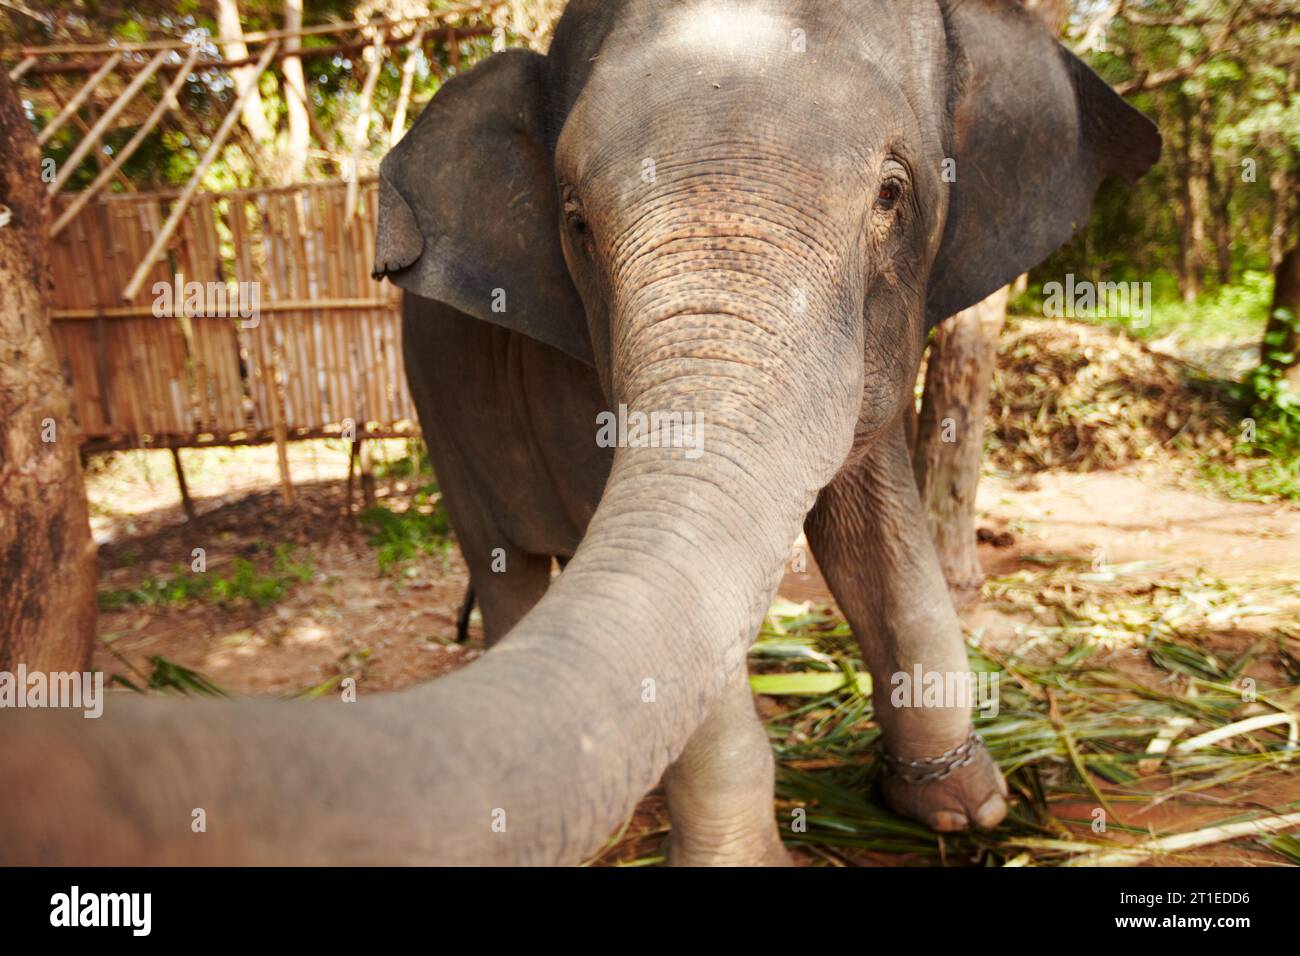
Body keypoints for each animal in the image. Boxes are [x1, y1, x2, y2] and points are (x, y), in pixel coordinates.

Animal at [0, 0, 1159, 866]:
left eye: (892, 194)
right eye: (575, 224)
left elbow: (875, 535)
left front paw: (967, 808)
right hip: (442, 421)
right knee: (510, 569)